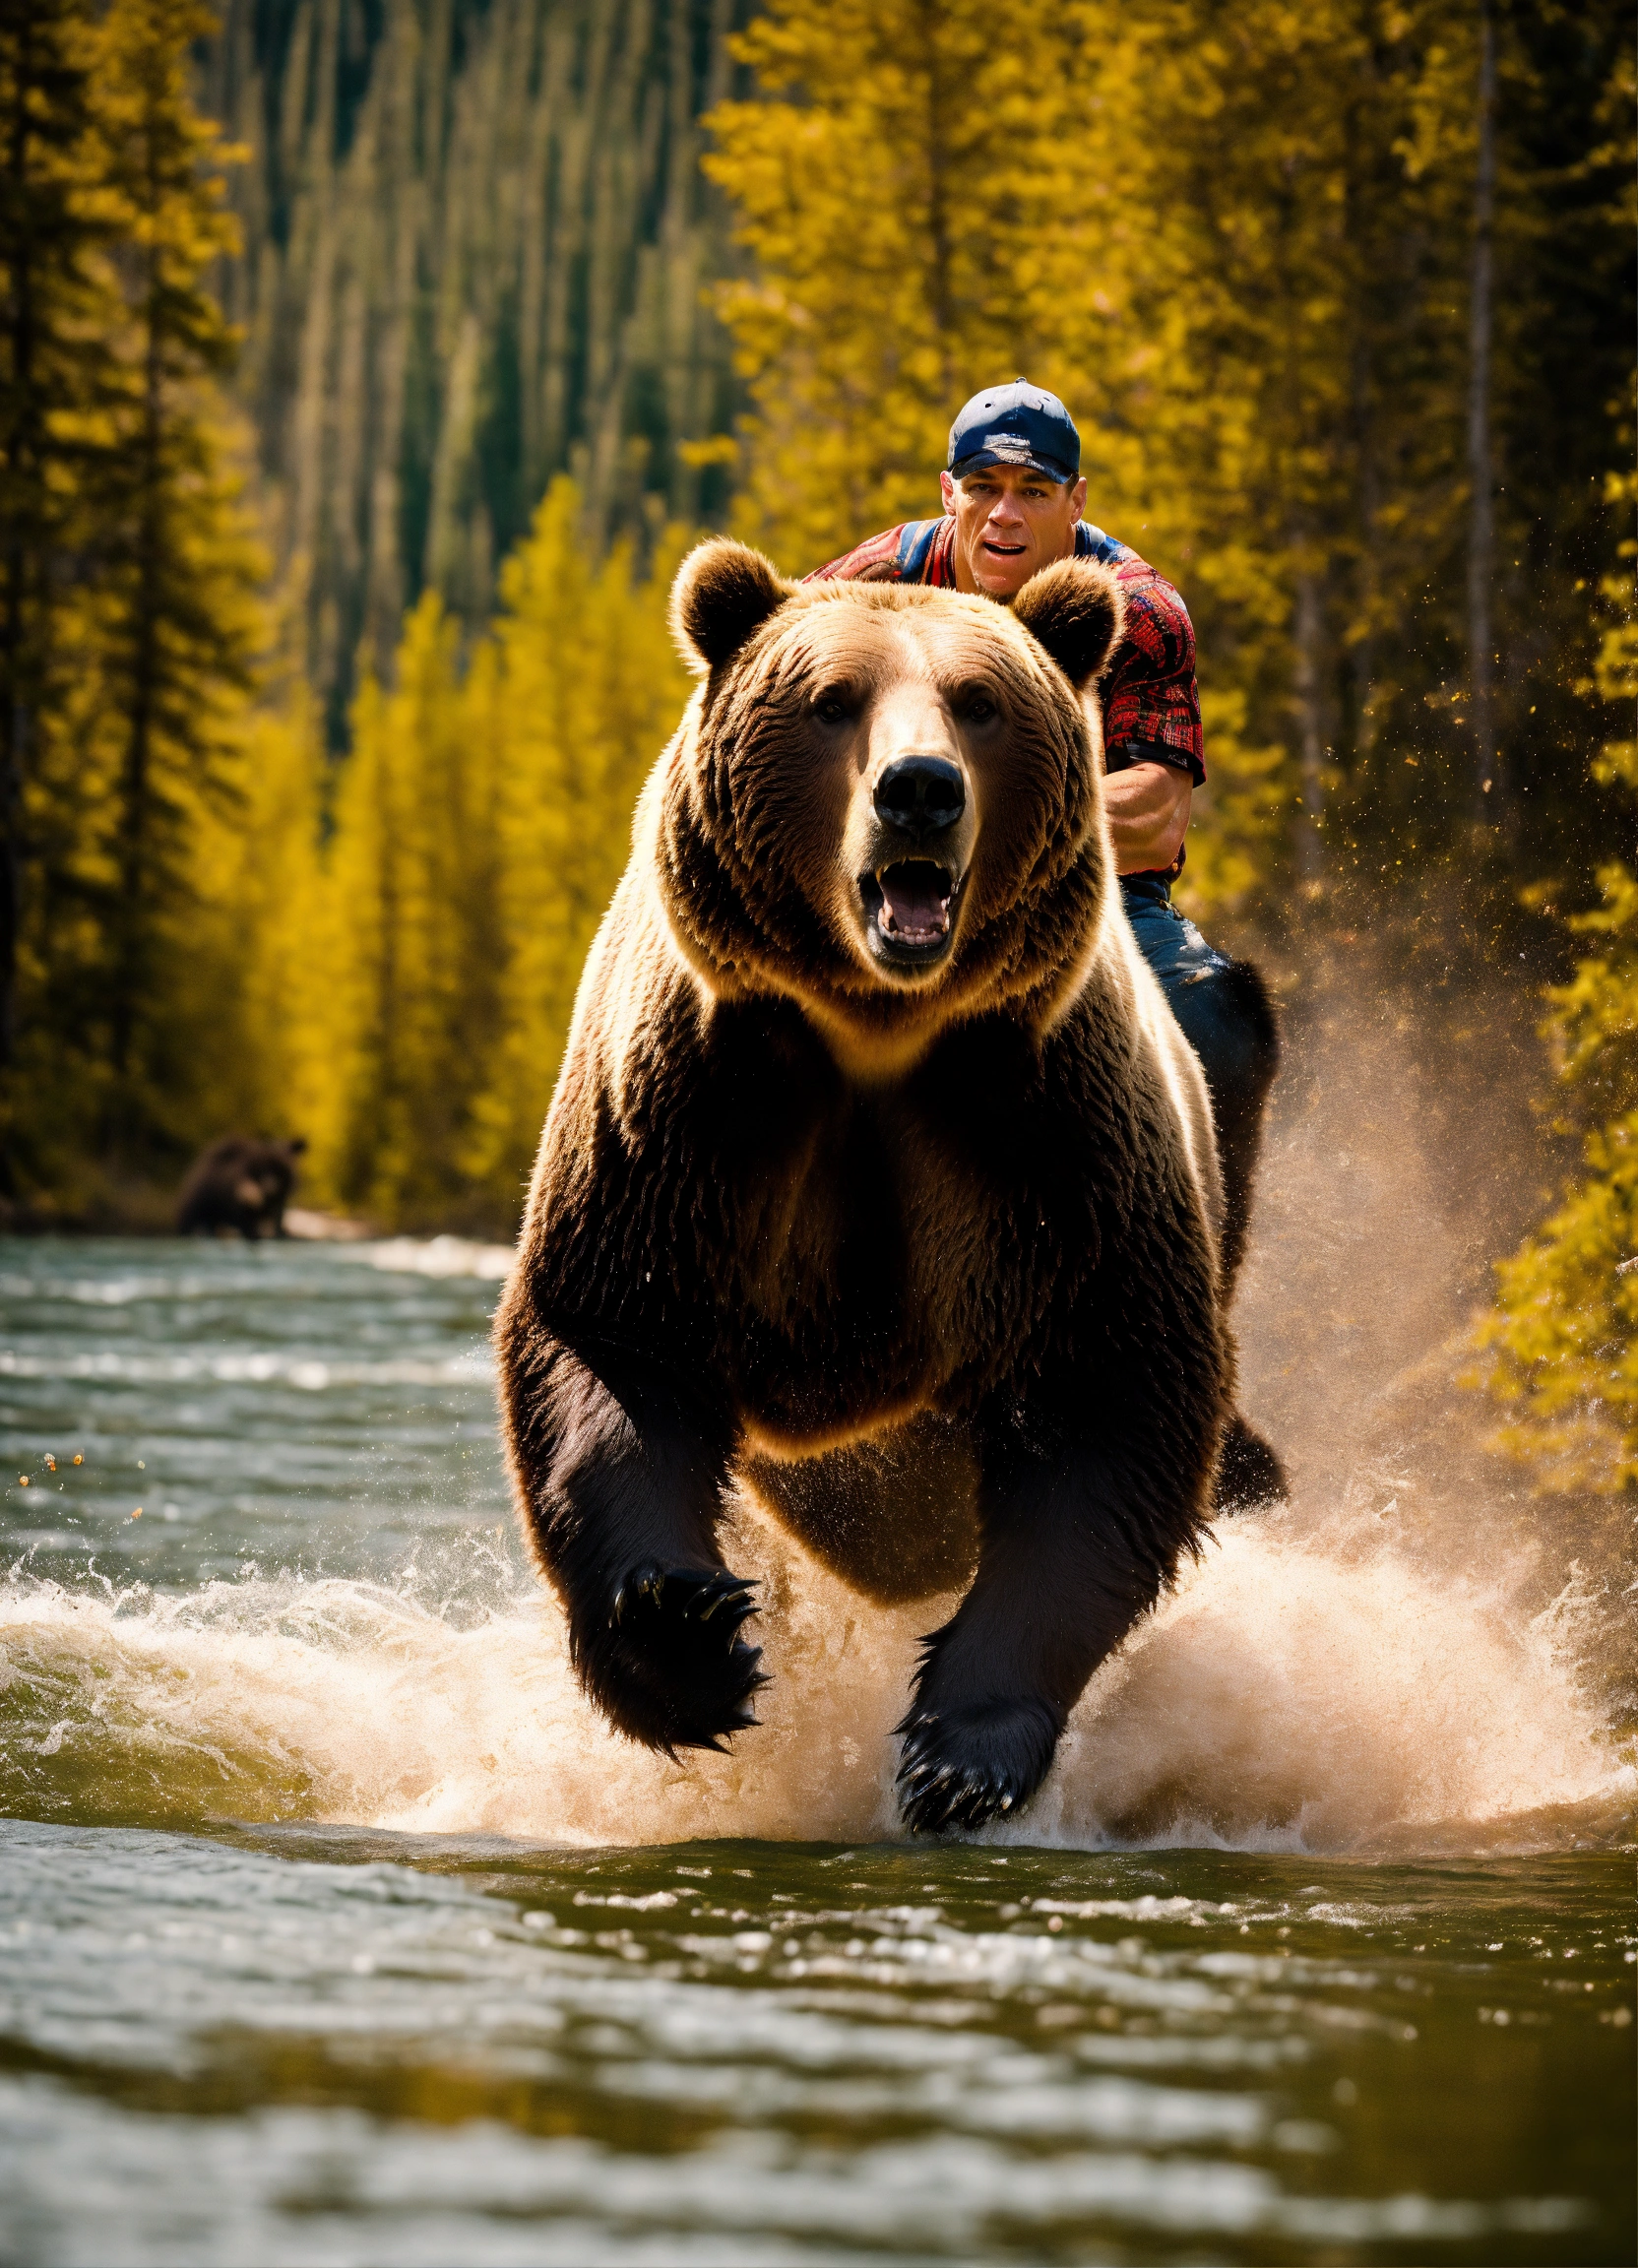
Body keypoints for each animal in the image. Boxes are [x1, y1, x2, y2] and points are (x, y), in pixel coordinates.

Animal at [176, 1135, 307, 1240]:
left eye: (280, 1171)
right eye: (264, 1170)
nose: (270, 1185)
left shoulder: (277, 1201)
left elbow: (276, 1216)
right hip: (200, 1201)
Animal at [495, 540, 1238, 1835]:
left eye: (978, 701)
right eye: (831, 700)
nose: (920, 789)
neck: (874, 1034)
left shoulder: (1049, 1142)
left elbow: (1108, 1409)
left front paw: (959, 1755)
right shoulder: (690, 1112)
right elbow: (611, 1344)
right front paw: (683, 1639)